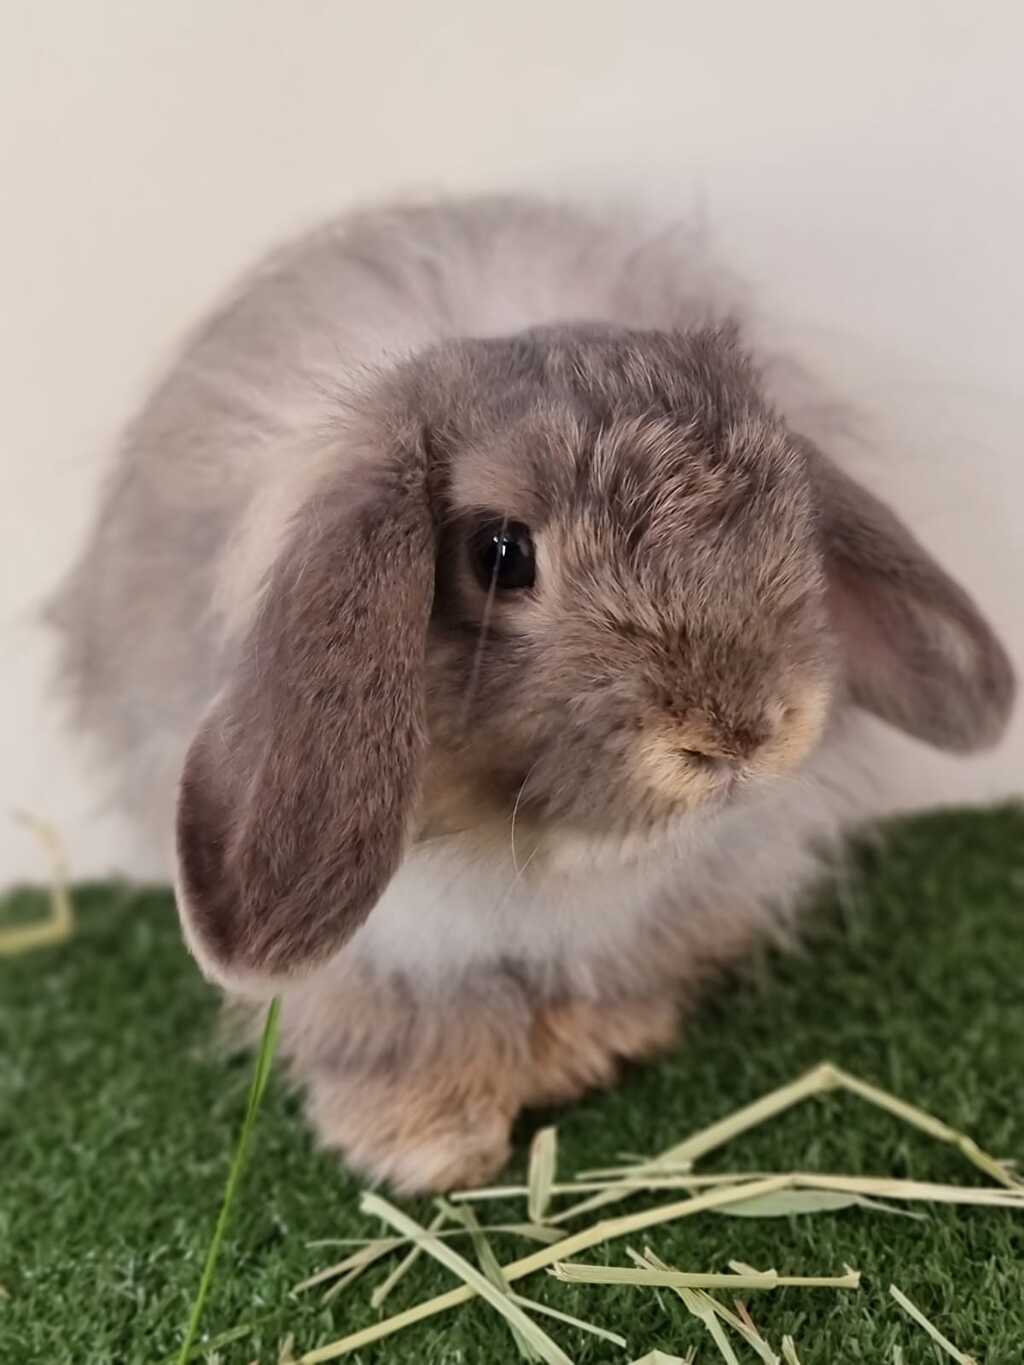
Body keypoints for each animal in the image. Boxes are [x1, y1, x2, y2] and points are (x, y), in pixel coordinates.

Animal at [50, 195, 1015, 1193]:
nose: (742, 732)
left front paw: (589, 1050)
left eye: (784, 509)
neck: (536, 855)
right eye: (501, 554)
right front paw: (425, 1142)